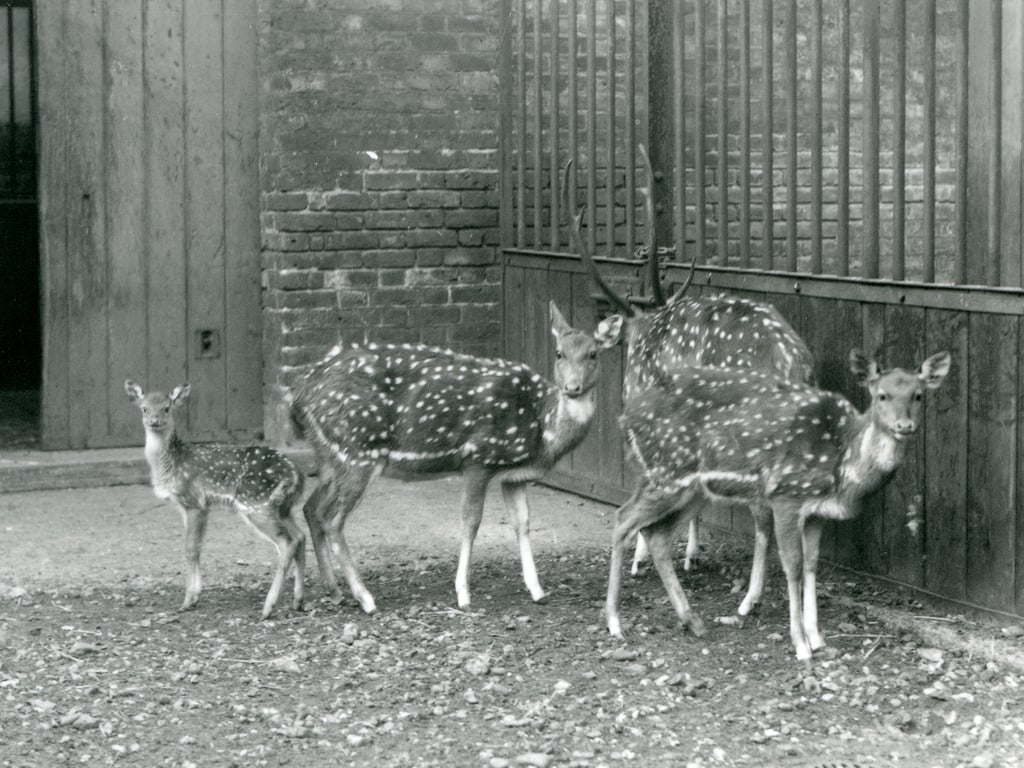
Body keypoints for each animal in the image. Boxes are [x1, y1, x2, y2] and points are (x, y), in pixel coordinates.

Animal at [125, 380, 306, 620]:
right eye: (144, 408)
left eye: (167, 408)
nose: (154, 421)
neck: (170, 465)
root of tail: (296, 475)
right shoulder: (194, 507)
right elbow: (198, 547)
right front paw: (195, 596)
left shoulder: (193, 500)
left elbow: (190, 548)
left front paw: (187, 600)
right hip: (284, 507)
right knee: (301, 536)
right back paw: (298, 601)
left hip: (256, 502)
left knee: (287, 542)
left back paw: (268, 607)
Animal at [288, 302, 622, 614]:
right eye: (558, 353)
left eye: (593, 354)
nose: (572, 387)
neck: (542, 427)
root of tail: (300, 395)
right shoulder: (479, 457)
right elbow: (471, 522)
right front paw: (463, 595)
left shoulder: (513, 475)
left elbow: (523, 523)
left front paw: (538, 591)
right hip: (359, 450)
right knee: (333, 520)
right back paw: (365, 598)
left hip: (330, 457)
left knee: (312, 509)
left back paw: (334, 591)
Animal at [604, 349, 951, 661]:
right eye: (882, 395)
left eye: (918, 395)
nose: (904, 426)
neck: (842, 463)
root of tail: (625, 415)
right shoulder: (786, 494)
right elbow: (793, 565)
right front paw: (801, 646)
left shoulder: (817, 512)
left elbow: (812, 563)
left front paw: (817, 638)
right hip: (666, 471)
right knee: (623, 518)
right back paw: (614, 623)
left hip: (694, 488)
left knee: (657, 534)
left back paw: (694, 621)